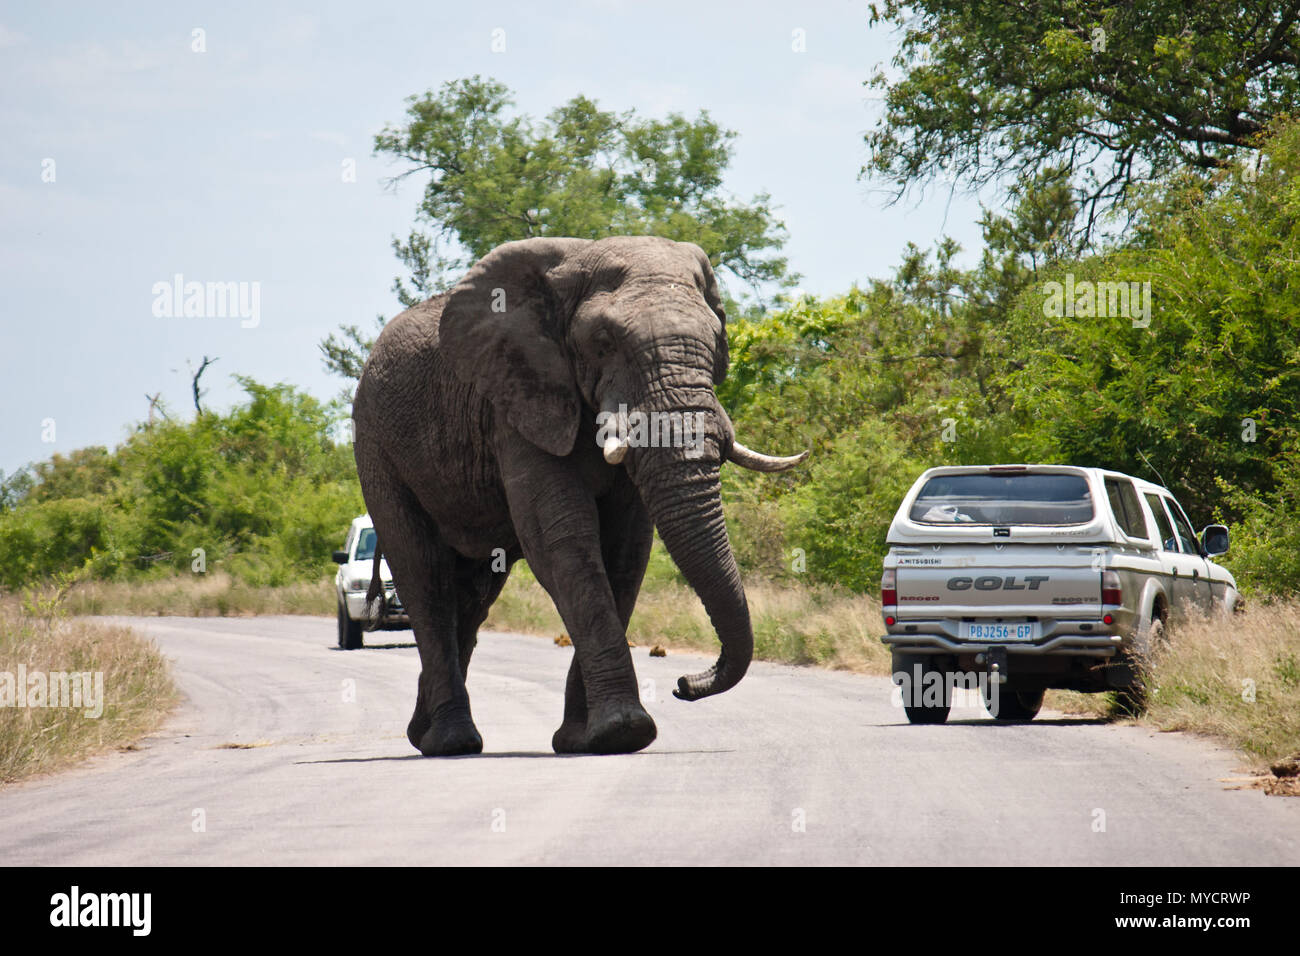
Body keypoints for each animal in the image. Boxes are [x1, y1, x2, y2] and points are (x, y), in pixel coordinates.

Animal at [351, 235, 806, 757]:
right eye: (604, 343)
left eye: (717, 341)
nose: (683, 683)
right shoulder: (519, 403)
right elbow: (563, 544)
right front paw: (624, 731)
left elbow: (626, 552)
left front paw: (581, 739)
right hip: (376, 448)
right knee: (425, 577)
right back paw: (452, 743)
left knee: (472, 595)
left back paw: (423, 736)